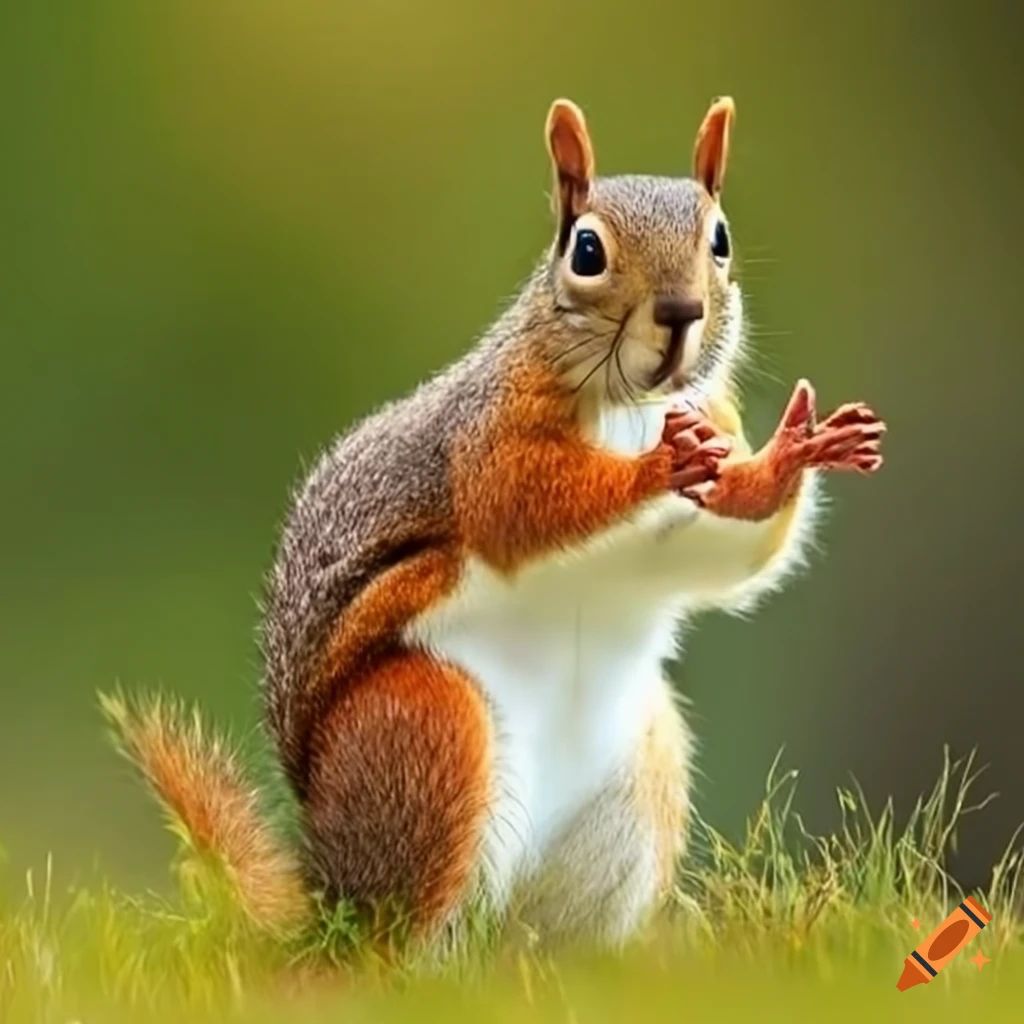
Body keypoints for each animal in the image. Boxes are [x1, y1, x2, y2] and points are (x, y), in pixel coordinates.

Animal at [112, 96, 885, 954]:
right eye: (586, 249)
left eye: (720, 239)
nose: (681, 314)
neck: (631, 407)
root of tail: (326, 899)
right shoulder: (492, 433)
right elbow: (516, 500)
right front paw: (653, 469)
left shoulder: (708, 434)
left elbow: (728, 547)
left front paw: (794, 453)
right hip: (429, 731)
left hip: (640, 778)